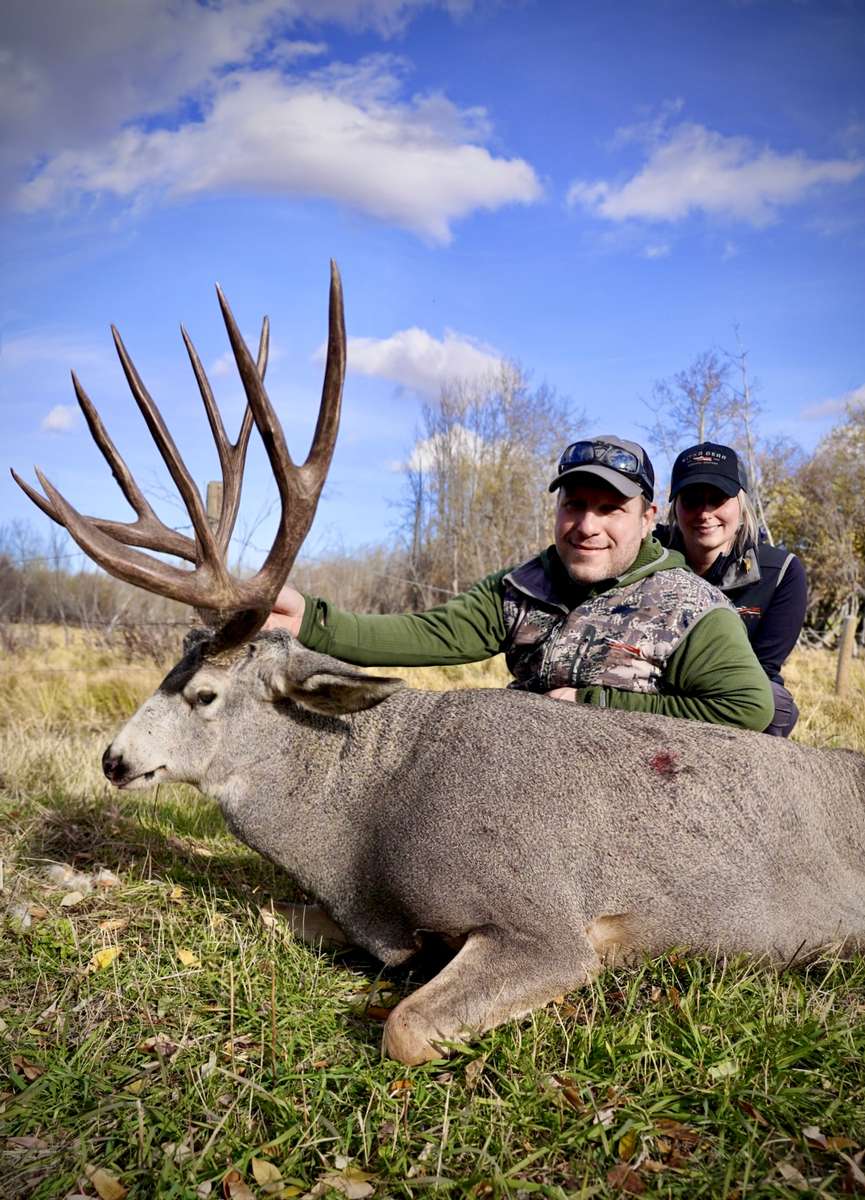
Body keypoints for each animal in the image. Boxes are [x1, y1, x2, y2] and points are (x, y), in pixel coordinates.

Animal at [13, 264, 865, 1065]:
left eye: (203, 693)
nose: (114, 759)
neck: (364, 823)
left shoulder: (540, 919)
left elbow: (406, 1028)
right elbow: (271, 914)